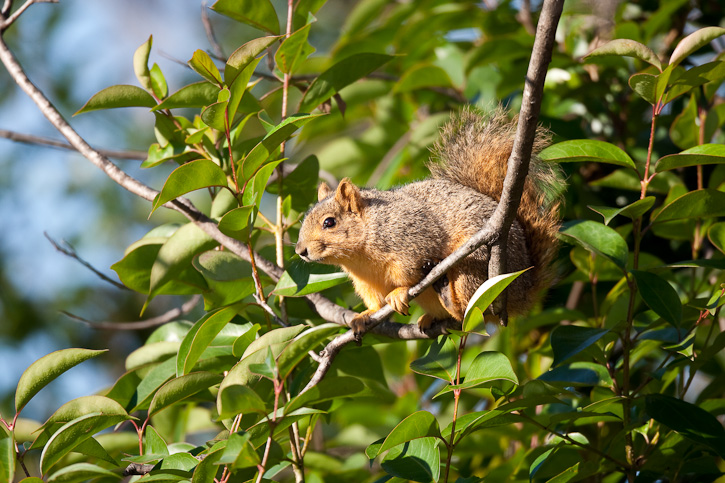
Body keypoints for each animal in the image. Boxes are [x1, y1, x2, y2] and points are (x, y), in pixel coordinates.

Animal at [295, 107, 562, 335]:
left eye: (329, 222)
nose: (300, 251)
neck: (359, 256)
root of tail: (524, 290)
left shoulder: (412, 239)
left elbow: (408, 272)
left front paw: (400, 292)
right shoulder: (364, 282)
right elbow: (374, 300)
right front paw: (364, 315)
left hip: (477, 265)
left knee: (470, 309)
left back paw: (448, 296)